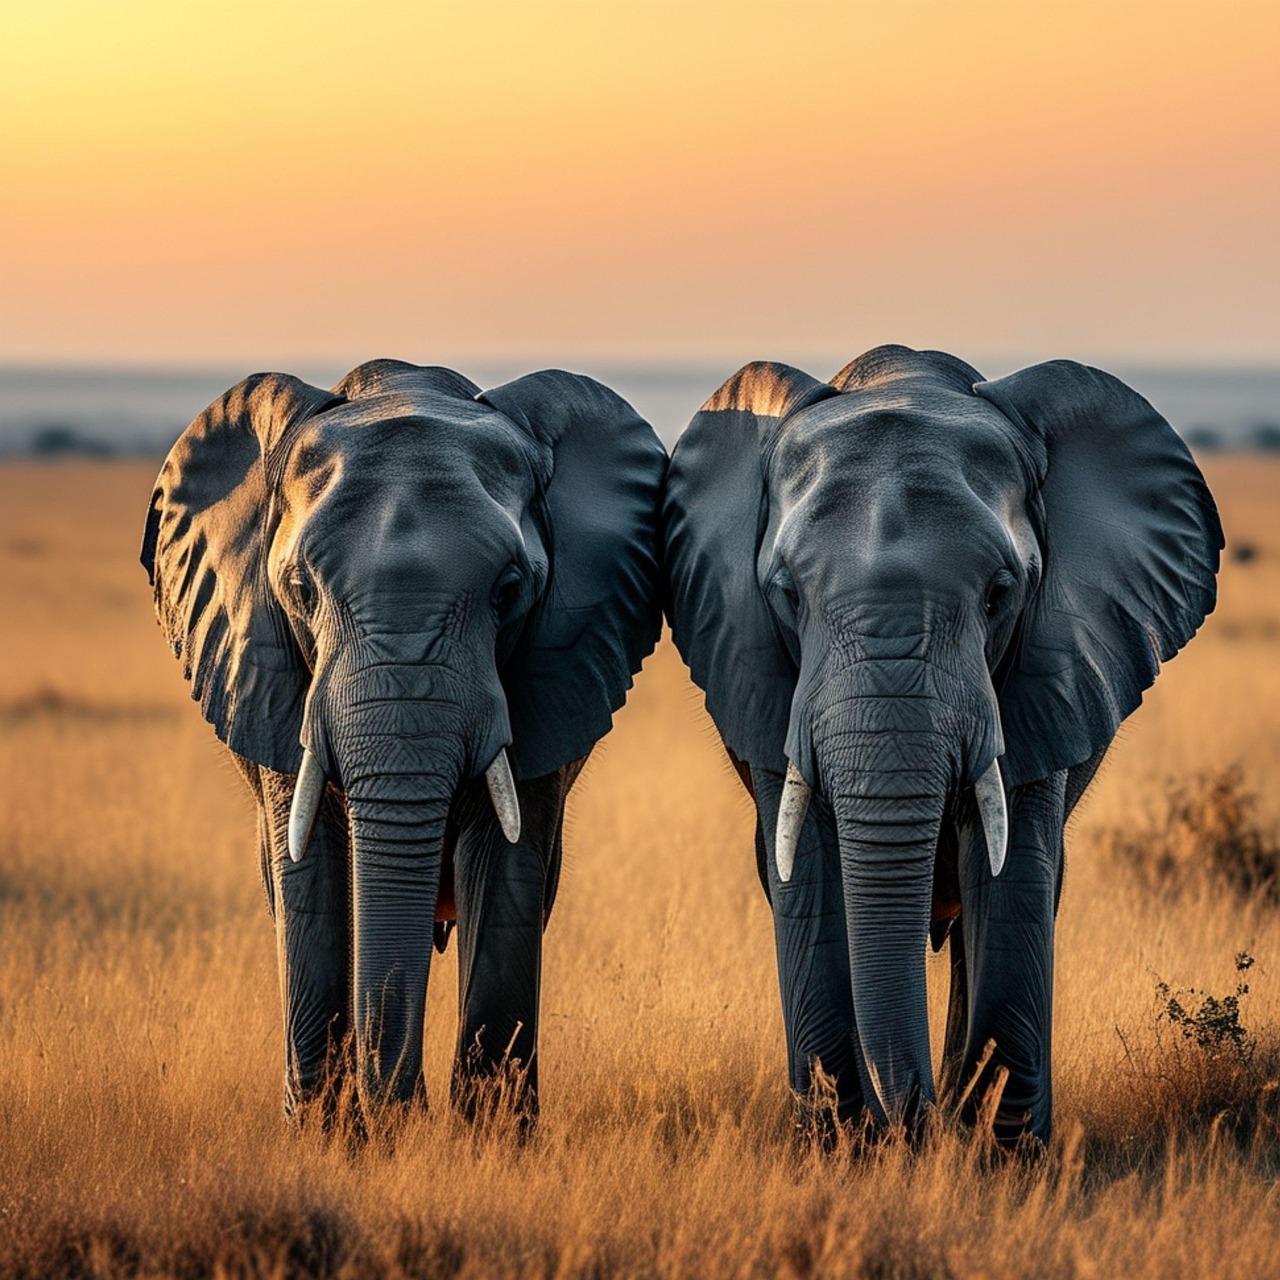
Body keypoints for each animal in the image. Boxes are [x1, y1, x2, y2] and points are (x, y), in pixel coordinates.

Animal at [142, 359, 666, 1125]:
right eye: (302, 591)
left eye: (509, 591)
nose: (405, 1109)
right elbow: (310, 871)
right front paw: (328, 1138)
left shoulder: (550, 670)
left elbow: (504, 867)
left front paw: (487, 1140)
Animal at [663, 345, 1221, 1144]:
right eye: (787, 595)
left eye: (999, 594)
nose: (912, 1121)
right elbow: (806, 875)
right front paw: (842, 1146)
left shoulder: (1043, 675)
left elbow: (1013, 874)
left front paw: (1001, 1152)